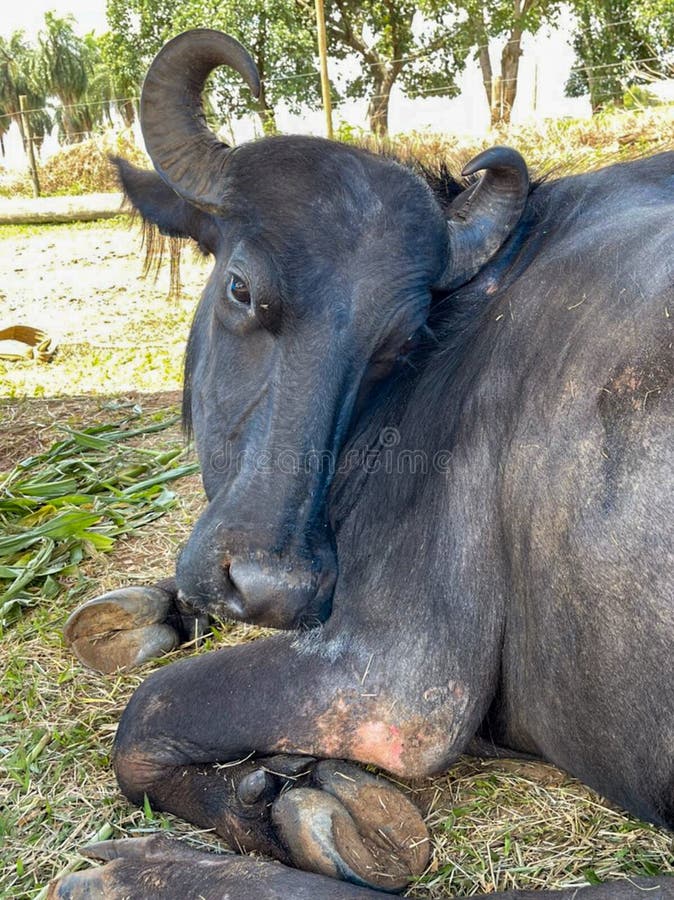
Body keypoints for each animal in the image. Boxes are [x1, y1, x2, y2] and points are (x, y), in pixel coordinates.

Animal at [54, 29, 674, 900]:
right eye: (240, 289)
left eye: (400, 340)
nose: (274, 588)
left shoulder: (396, 679)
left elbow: (144, 720)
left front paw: (285, 803)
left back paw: (148, 870)